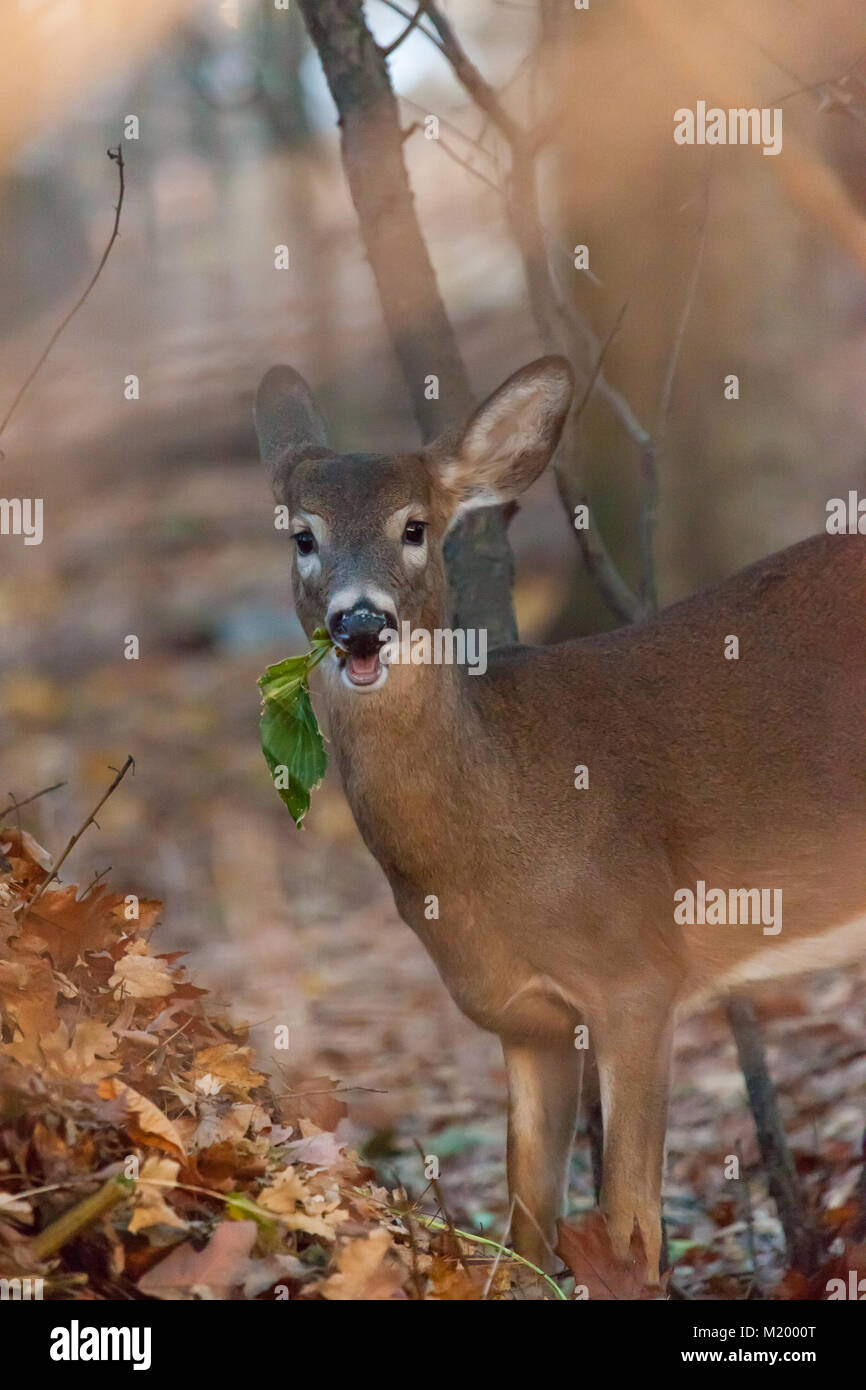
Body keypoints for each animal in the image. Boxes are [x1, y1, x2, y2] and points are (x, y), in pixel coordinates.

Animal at [254, 353, 866, 1284]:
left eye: (415, 526)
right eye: (302, 535)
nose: (360, 623)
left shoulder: (637, 972)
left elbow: (628, 1223)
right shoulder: (527, 1023)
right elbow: (525, 1226)